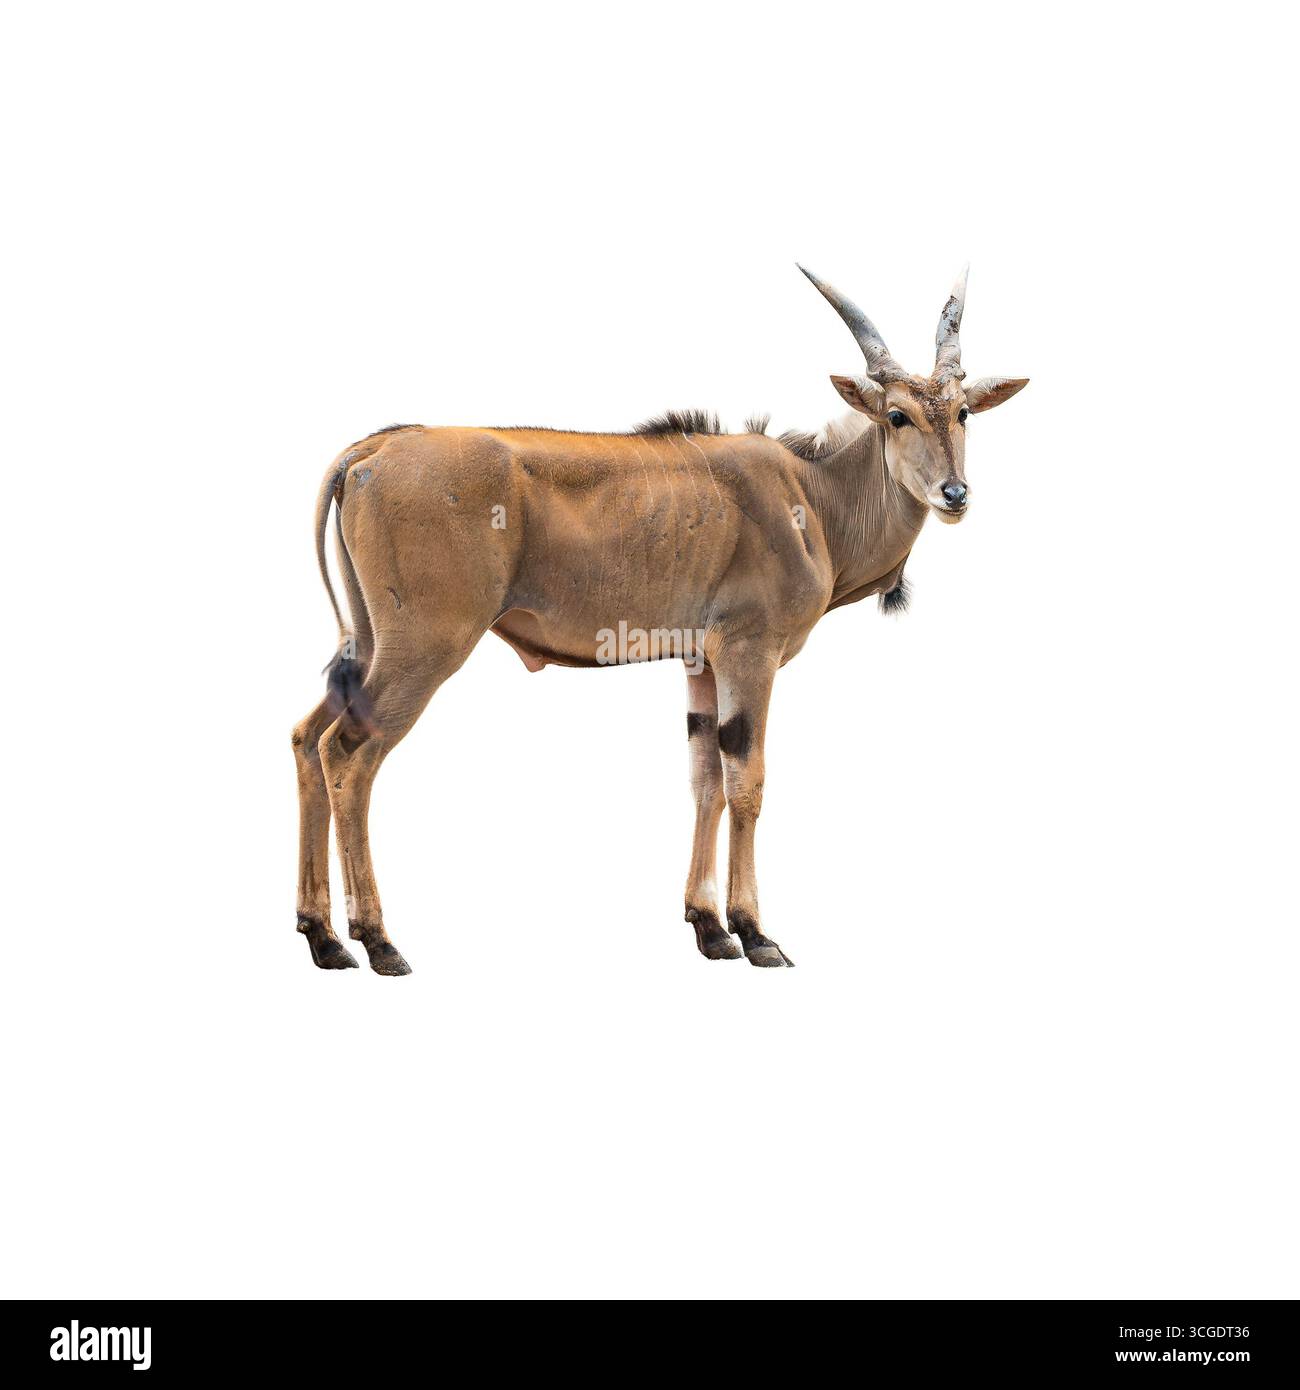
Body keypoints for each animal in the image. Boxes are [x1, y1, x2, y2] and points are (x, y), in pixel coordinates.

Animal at [291, 267, 1028, 974]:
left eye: (963, 412)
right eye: (898, 415)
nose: (954, 494)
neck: (811, 498)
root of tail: (368, 454)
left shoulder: (701, 662)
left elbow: (705, 780)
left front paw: (709, 928)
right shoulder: (749, 652)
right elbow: (747, 781)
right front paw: (755, 933)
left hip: (369, 645)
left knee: (306, 740)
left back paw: (323, 937)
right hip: (425, 648)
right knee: (349, 753)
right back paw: (376, 941)